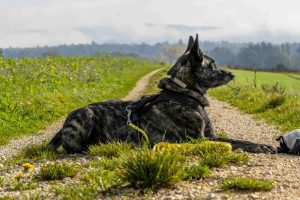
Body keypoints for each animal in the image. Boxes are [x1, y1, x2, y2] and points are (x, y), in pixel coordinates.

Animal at [48, 34, 276, 153]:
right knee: (72, 147)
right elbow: (233, 143)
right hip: (85, 116)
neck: (184, 94)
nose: (232, 74)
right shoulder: (197, 139)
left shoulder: (210, 135)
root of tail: (64, 124)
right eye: (212, 65)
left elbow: (240, 141)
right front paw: (264, 148)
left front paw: (264, 145)